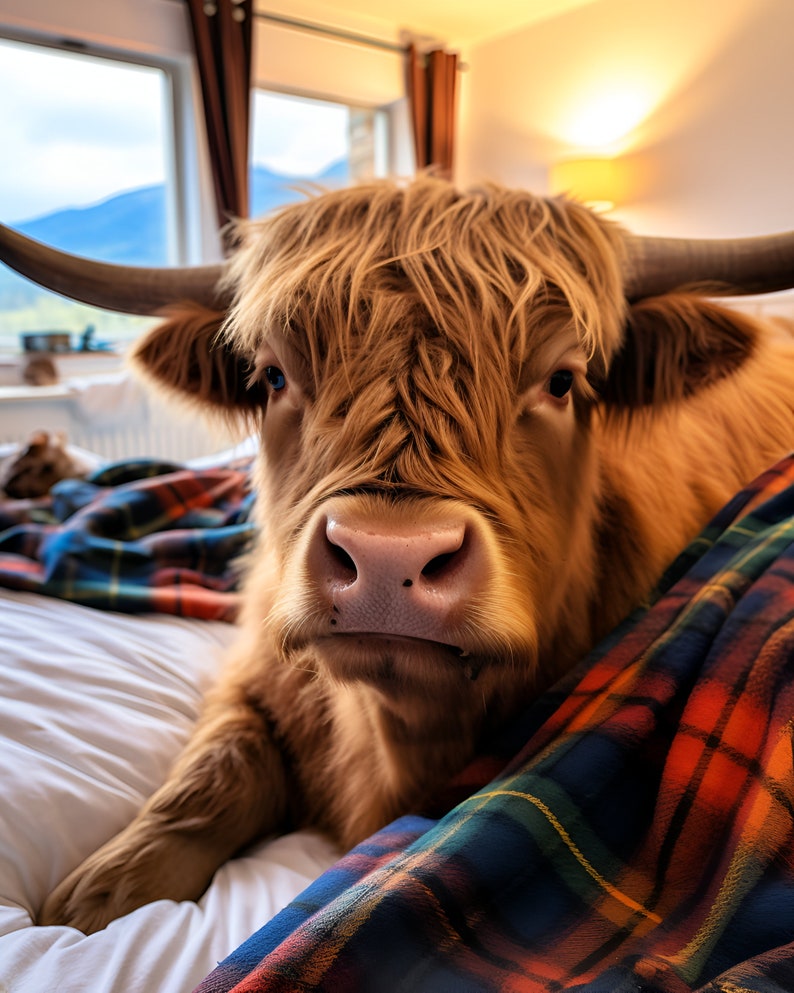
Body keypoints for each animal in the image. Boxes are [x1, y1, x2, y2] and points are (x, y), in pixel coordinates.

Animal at [1, 177, 793, 935]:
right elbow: (216, 767)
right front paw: (102, 895)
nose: (386, 562)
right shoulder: (253, 673)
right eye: (274, 376)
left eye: (563, 380)